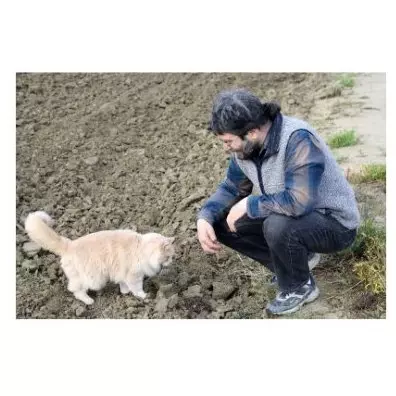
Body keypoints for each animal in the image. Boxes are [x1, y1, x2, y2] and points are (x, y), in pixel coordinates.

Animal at [23, 212, 175, 304]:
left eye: (172, 257)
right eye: (168, 257)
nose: (172, 261)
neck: (142, 248)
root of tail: (69, 244)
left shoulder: (123, 273)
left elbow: (123, 284)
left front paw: (124, 292)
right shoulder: (134, 275)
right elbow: (137, 288)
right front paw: (143, 296)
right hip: (93, 279)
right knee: (74, 289)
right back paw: (88, 300)